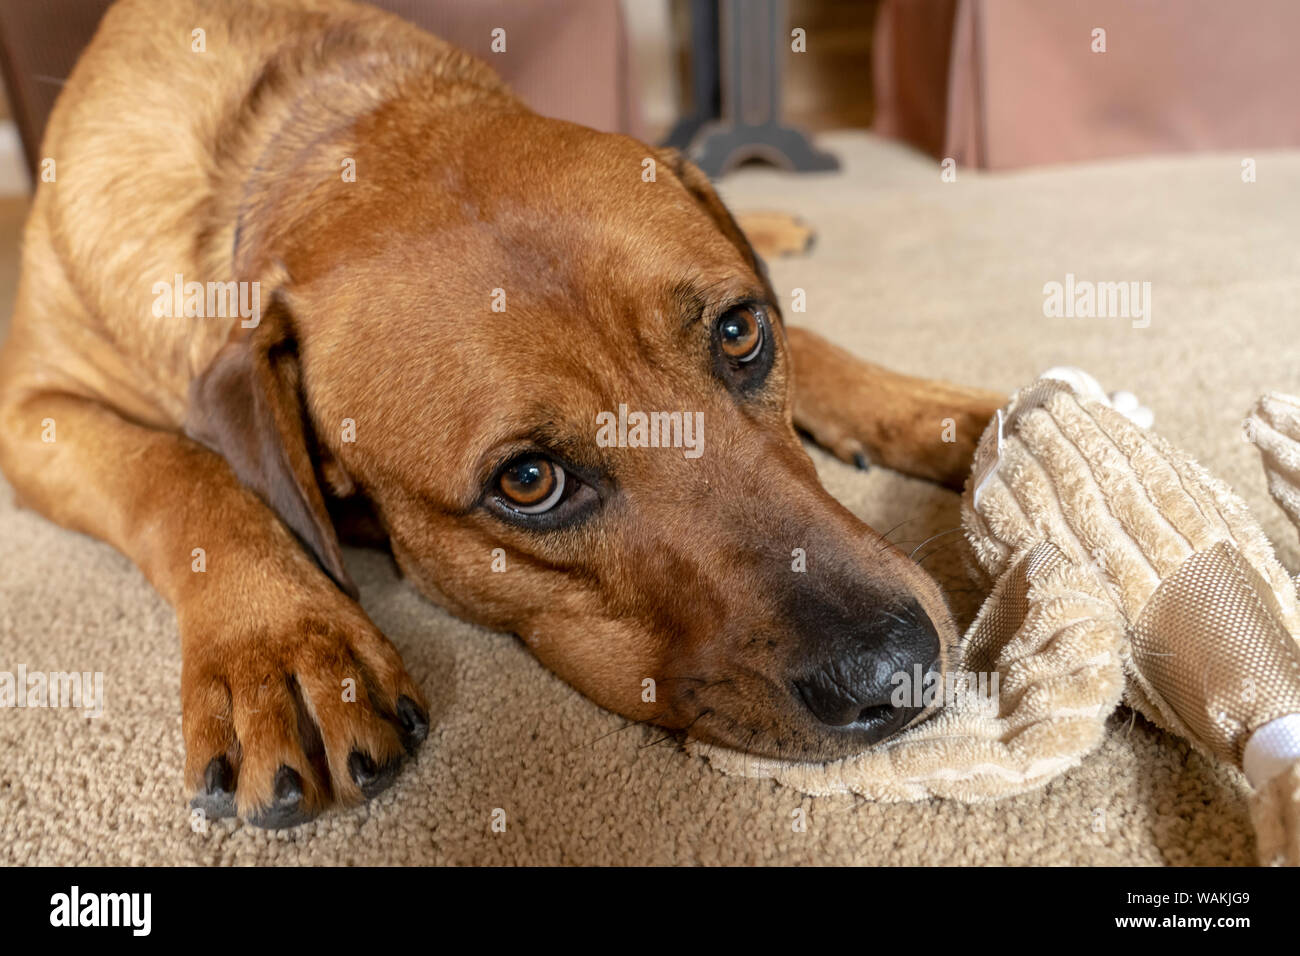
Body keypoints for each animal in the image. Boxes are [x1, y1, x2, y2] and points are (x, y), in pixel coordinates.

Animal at [0, 0, 998, 827]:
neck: (313, 131)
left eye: (741, 332)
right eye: (528, 482)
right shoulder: (31, 413)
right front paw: (280, 646)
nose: (894, 668)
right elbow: (179, 470)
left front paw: (960, 417)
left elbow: (820, 342)